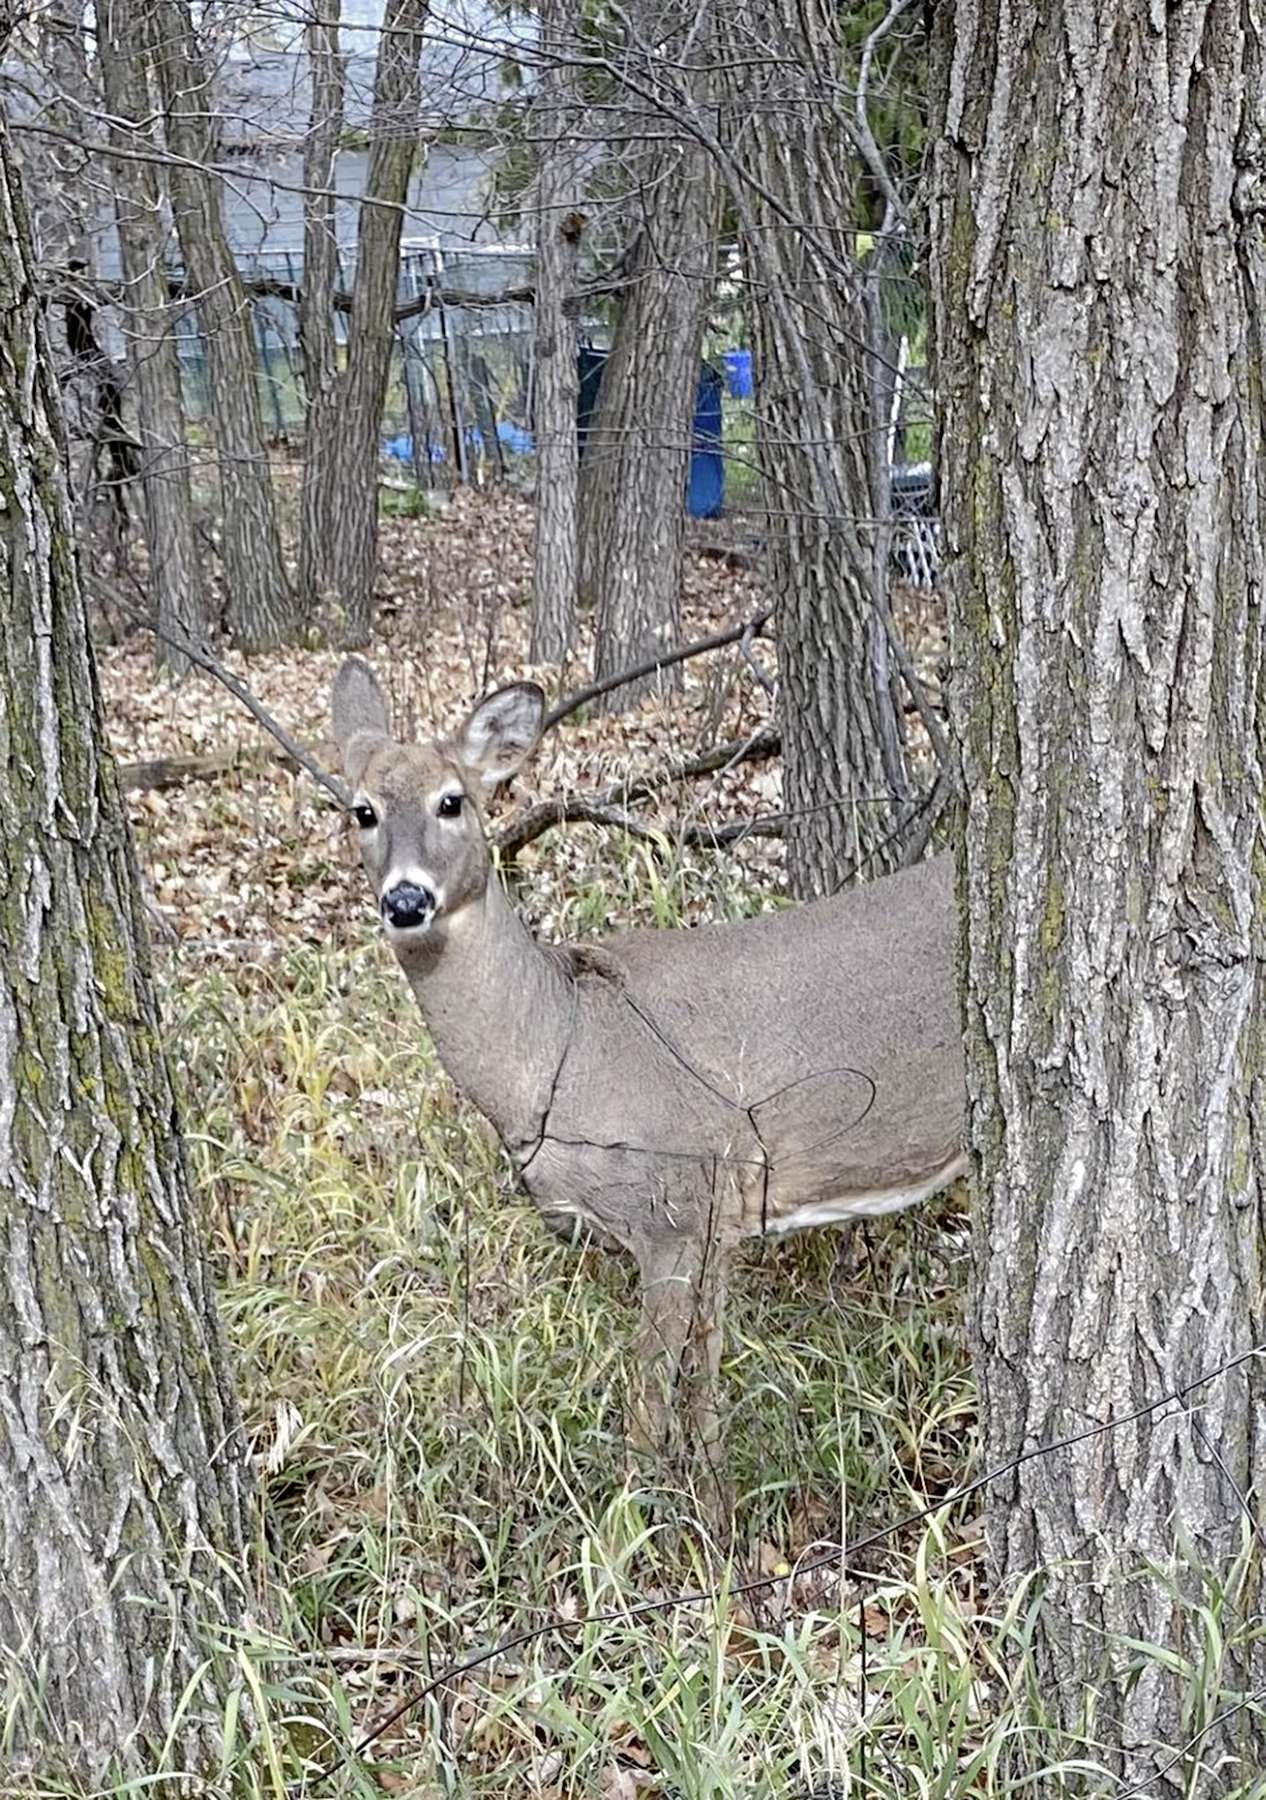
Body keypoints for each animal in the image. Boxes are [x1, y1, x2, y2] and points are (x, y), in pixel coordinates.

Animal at [331, 658, 965, 1482]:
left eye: (453, 799)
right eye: (363, 810)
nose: (406, 899)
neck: (562, 1049)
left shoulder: (676, 1204)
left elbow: (648, 1408)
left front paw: (641, 1506)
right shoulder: (721, 1219)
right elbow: (706, 1391)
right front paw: (715, 1497)